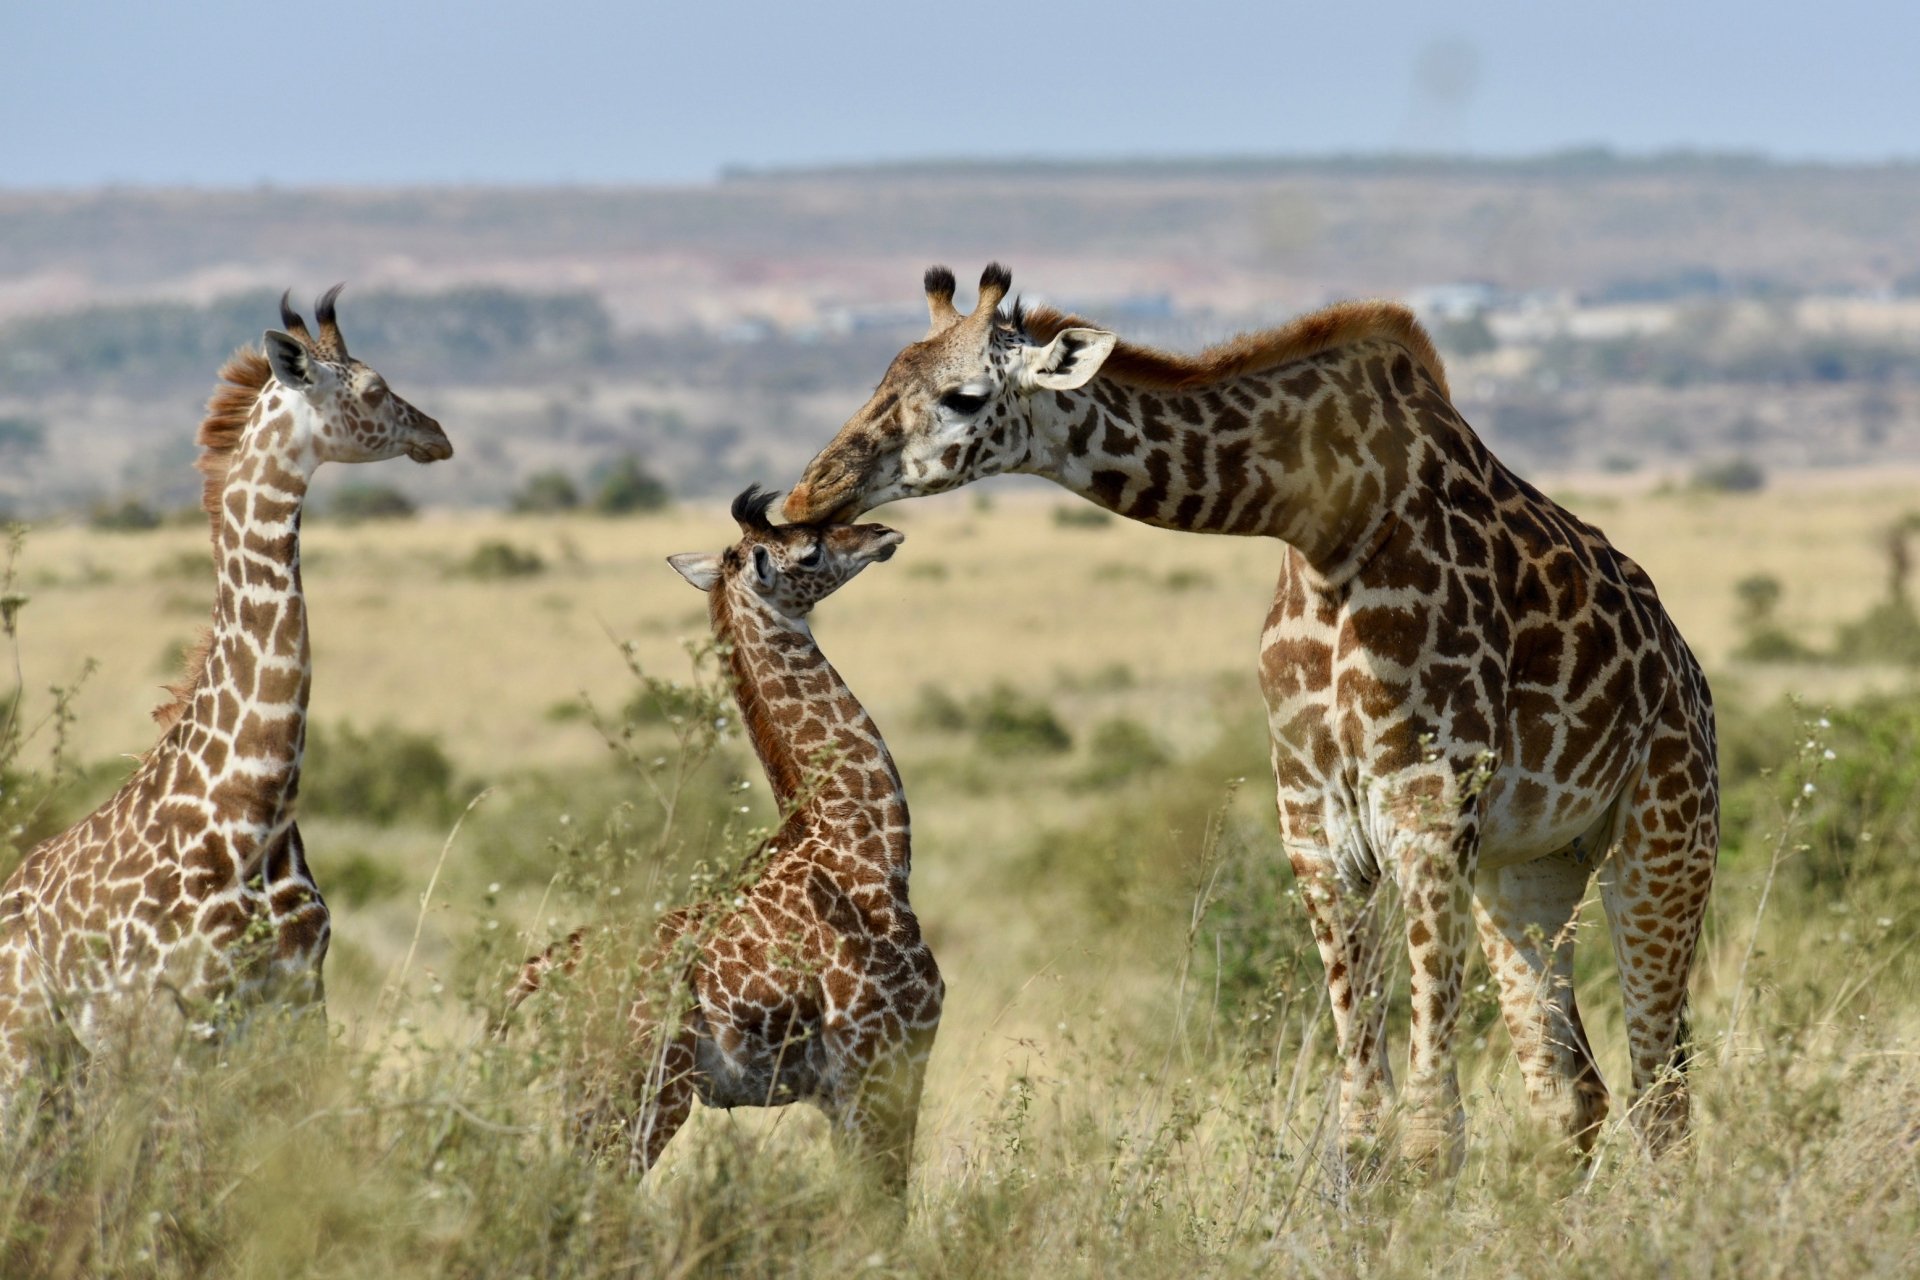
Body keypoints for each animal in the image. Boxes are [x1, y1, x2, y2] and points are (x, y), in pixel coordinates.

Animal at [0, 288, 452, 1099]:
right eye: (374, 389)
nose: (437, 435)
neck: (254, 803)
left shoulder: (298, 997)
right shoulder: (170, 1017)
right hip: (28, 1048)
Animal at [504, 486, 942, 1190]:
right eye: (809, 549)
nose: (882, 532)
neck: (871, 856)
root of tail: (545, 969)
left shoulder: (839, 1092)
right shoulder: (884, 1062)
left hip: (587, 1094)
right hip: (646, 1090)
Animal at [784, 264, 1718, 1168]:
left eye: (965, 396)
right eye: (884, 375)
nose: (806, 495)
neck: (1329, 522)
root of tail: (1689, 675)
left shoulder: (1427, 810)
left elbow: (1430, 1131)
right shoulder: (1314, 826)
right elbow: (1361, 1123)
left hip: (1662, 840)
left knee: (1662, 1093)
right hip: (1528, 868)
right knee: (1574, 1095)